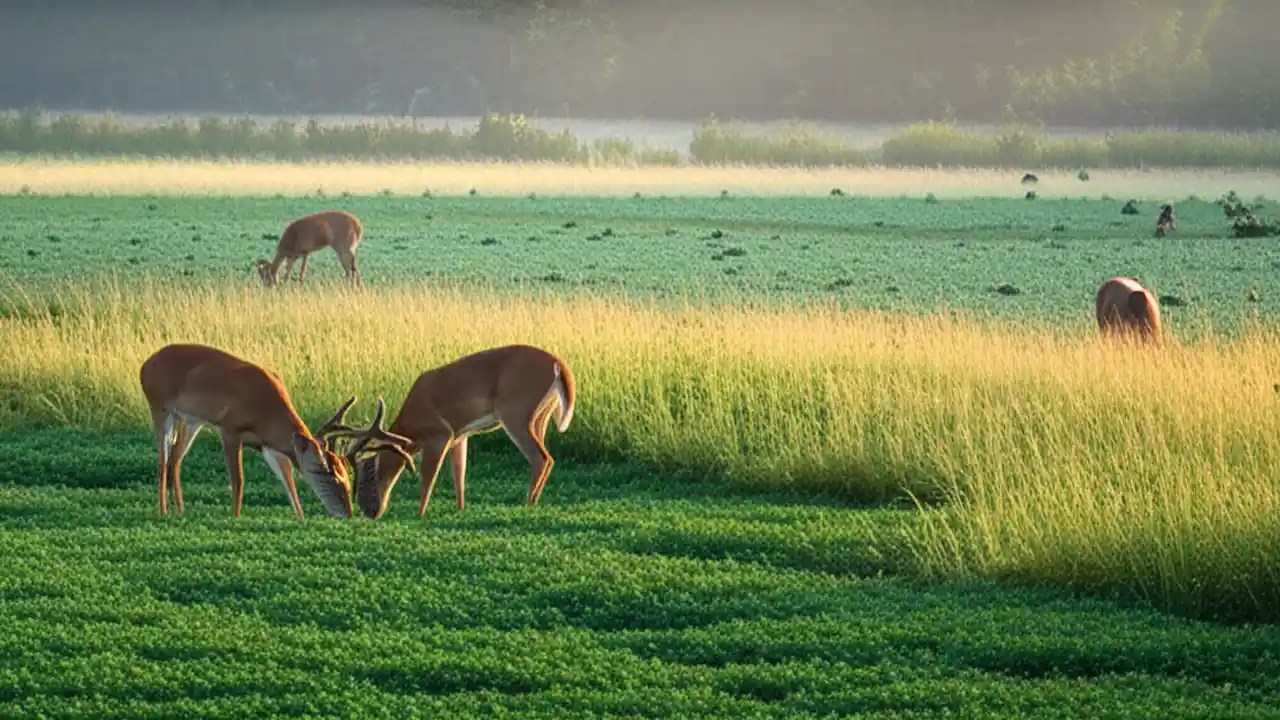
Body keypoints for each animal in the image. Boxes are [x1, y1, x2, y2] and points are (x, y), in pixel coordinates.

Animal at [139, 343, 413, 519]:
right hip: (159, 407)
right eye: (331, 476)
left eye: (347, 478)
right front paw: (235, 517)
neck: (265, 411)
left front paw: (300, 517)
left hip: (190, 420)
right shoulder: (230, 429)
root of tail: (145, 364)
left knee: (175, 459)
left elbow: (288, 480)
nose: (346, 513)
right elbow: (239, 480)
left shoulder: (270, 445)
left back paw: (180, 510)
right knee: (162, 460)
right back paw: (163, 512)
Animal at [339, 344, 577, 520]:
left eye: (367, 478)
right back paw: (533, 501)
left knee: (540, 457)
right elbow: (459, 473)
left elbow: (429, 475)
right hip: (541, 415)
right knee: (547, 458)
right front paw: (460, 508)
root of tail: (559, 364)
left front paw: (420, 514)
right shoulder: (459, 435)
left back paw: (527, 504)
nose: (369, 513)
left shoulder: (440, 433)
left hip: (515, 412)